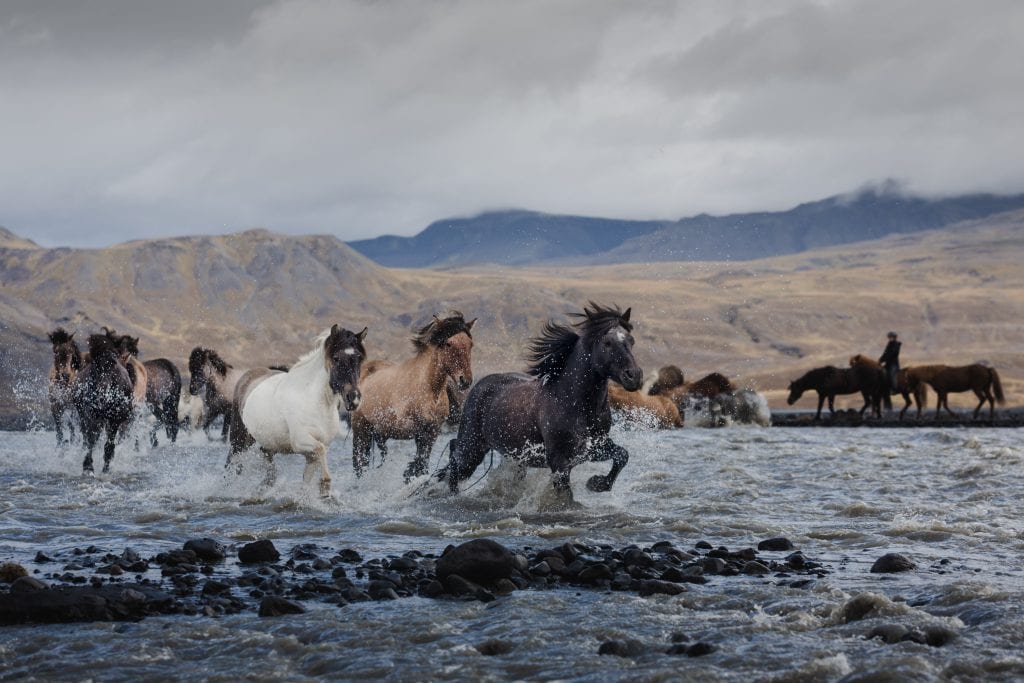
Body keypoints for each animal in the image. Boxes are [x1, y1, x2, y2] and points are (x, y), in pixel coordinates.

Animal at [72, 334, 134, 474]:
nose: (101, 397)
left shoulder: (113, 419)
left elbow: (106, 444)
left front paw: (104, 468)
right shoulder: (95, 417)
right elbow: (93, 440)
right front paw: (89, 467)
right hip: (89, 416)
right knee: (90, 438)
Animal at [228, 325, 367, 497]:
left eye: (359, 358)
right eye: (336, 358)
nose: (353, 398)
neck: (316, 403)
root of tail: (248, 375)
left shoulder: (314, 452)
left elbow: (307, 480)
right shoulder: (301, 441)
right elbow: (321, 455)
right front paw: (324, 486)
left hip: (267, 444)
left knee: (268, 466)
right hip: (239, 440)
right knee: (233, 464)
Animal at [352, 312, 475, 481]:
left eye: (470, 344)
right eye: (448, 344)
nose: (465, 381)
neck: (429, 391)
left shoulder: (432, 433)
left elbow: (422, 462)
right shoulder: (413, 430)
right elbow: (418, 462)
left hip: (377, 432)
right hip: (360, 430)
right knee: (359, 463)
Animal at [443, 302, 642, 502]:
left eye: (631, 340)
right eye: (607, 342)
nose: (634, 376)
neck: (575, 404)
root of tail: (479, 385)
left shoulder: (593, 448)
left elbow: (622, 455)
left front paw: (597, 483)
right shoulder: (559, 461)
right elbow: (565, 494)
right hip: (473, 446)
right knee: (455, 459)